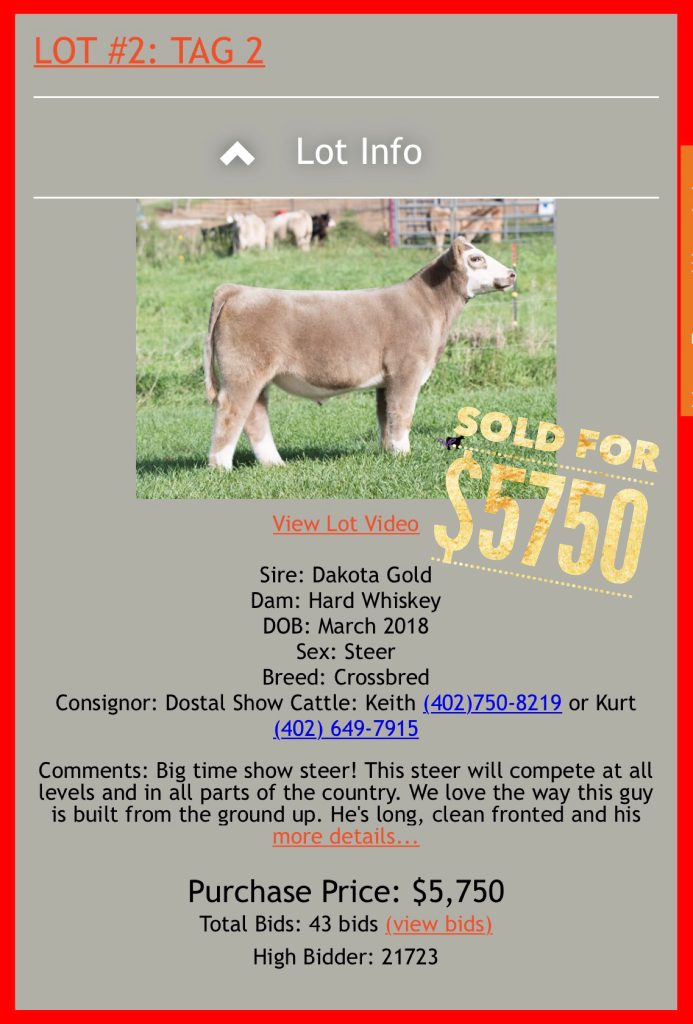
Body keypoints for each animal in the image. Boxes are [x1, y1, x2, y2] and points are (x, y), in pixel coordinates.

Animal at [203, 237, 515, 470]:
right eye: (476, 259)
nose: (512, 273)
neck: (429, 306)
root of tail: (237, 289)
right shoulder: (407, 370)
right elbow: (402, 412)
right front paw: (404, 454)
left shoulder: (386, 380)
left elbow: (385, 415)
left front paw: (390, 453)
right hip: (243, 372)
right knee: (231, 412)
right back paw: (221, 467)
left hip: (258, 376)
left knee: (254, 416)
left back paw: (274, 464)